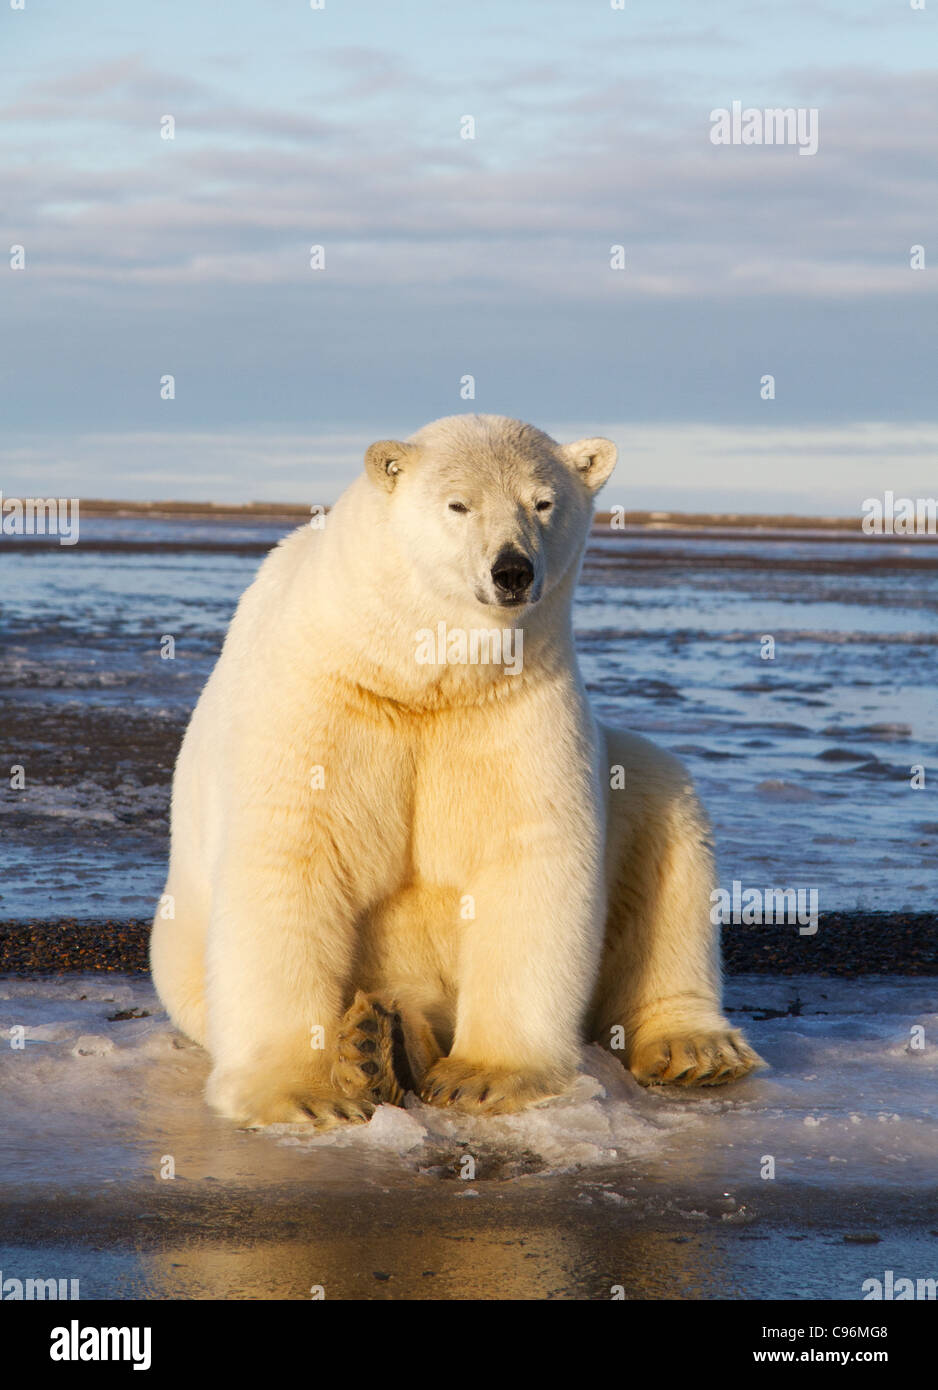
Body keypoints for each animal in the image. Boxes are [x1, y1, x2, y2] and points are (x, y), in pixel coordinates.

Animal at [150, 413, 764, 1127]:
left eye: (542, 502)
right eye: (458, 505)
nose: (512, 571)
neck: (414, 671)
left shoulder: (516, 699)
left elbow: (530, 853)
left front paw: (484, 1077)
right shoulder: (321, 698)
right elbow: (290, 855)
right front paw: (305, 1094)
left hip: (630, 782)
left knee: (666, 818)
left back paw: (693, 1048)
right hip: (180, 953)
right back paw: (379, 1045)